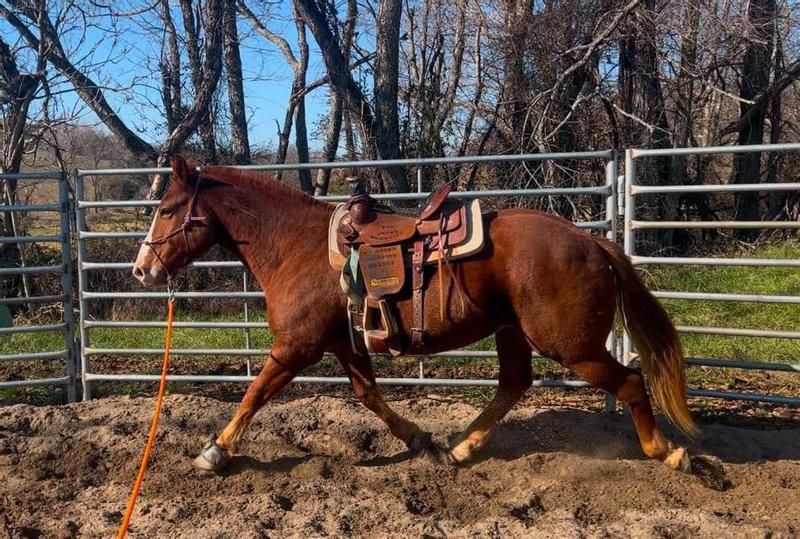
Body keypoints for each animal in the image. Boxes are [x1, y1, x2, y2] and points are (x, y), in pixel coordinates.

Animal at [132, 155, 710, 484]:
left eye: (167, 209)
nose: (142, 269)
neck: (295, 245)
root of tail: (591, 242)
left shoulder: (295, 348)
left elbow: (254, 393)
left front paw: (215, 452)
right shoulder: (344, 346)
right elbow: (370, 397)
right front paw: (420, 441)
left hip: (571, 346)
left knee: (630, 382)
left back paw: (669, 453)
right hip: (513, 333)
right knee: (514, 384)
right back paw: (461, 448)